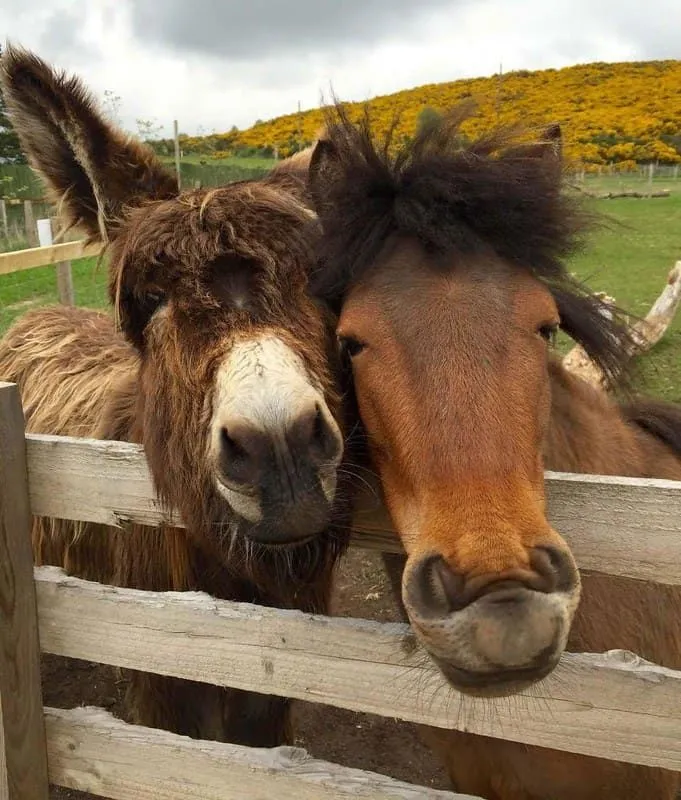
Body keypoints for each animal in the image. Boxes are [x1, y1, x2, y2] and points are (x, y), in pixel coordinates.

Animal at [0, 47, 350, 748]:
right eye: (150, 301)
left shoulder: (270, 700)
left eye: (321, 281)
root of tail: (38, 314)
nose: (281, 451)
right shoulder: (164, 692)